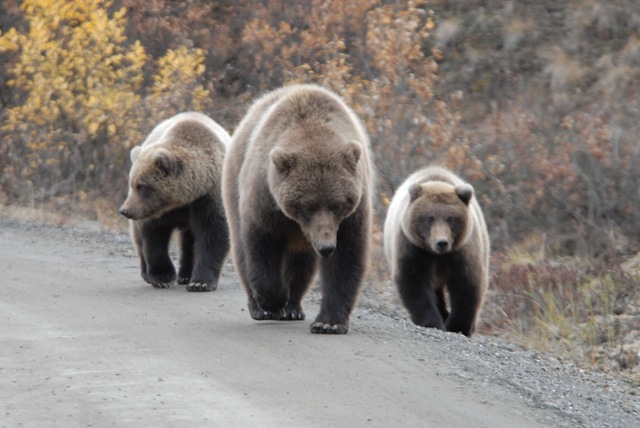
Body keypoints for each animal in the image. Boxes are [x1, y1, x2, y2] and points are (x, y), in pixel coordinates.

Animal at [119, 112, 230, 292]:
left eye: (142, 186)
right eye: (132, 183)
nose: (124, 210)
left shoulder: (209, 197)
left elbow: (213, 233)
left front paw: (200, 282)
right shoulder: (155, 210)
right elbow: (153, 235)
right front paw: (162, 278)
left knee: (190, 241)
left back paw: (186, 275)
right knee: (138, 238)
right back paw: (147, 273)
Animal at [222, 84, 373, 334]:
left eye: (338, 204)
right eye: (308, 205)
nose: (326, 247)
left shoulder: (353, 213)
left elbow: (346, 257)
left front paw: (328, 322)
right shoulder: (264, 200)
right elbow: (260, 246)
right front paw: (273, 301)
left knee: (301, 263)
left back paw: (293, 307)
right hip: (235, 182)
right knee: (241, 250)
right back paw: (259, 307)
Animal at [383, 166, 490, 337]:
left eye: (451, 218)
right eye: (429, 218)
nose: (441, 242)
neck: (437, 255)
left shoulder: (462, 251)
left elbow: (467, 283)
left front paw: (458, 326)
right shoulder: (413, 248)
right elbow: (414, 281)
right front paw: (432, 322)